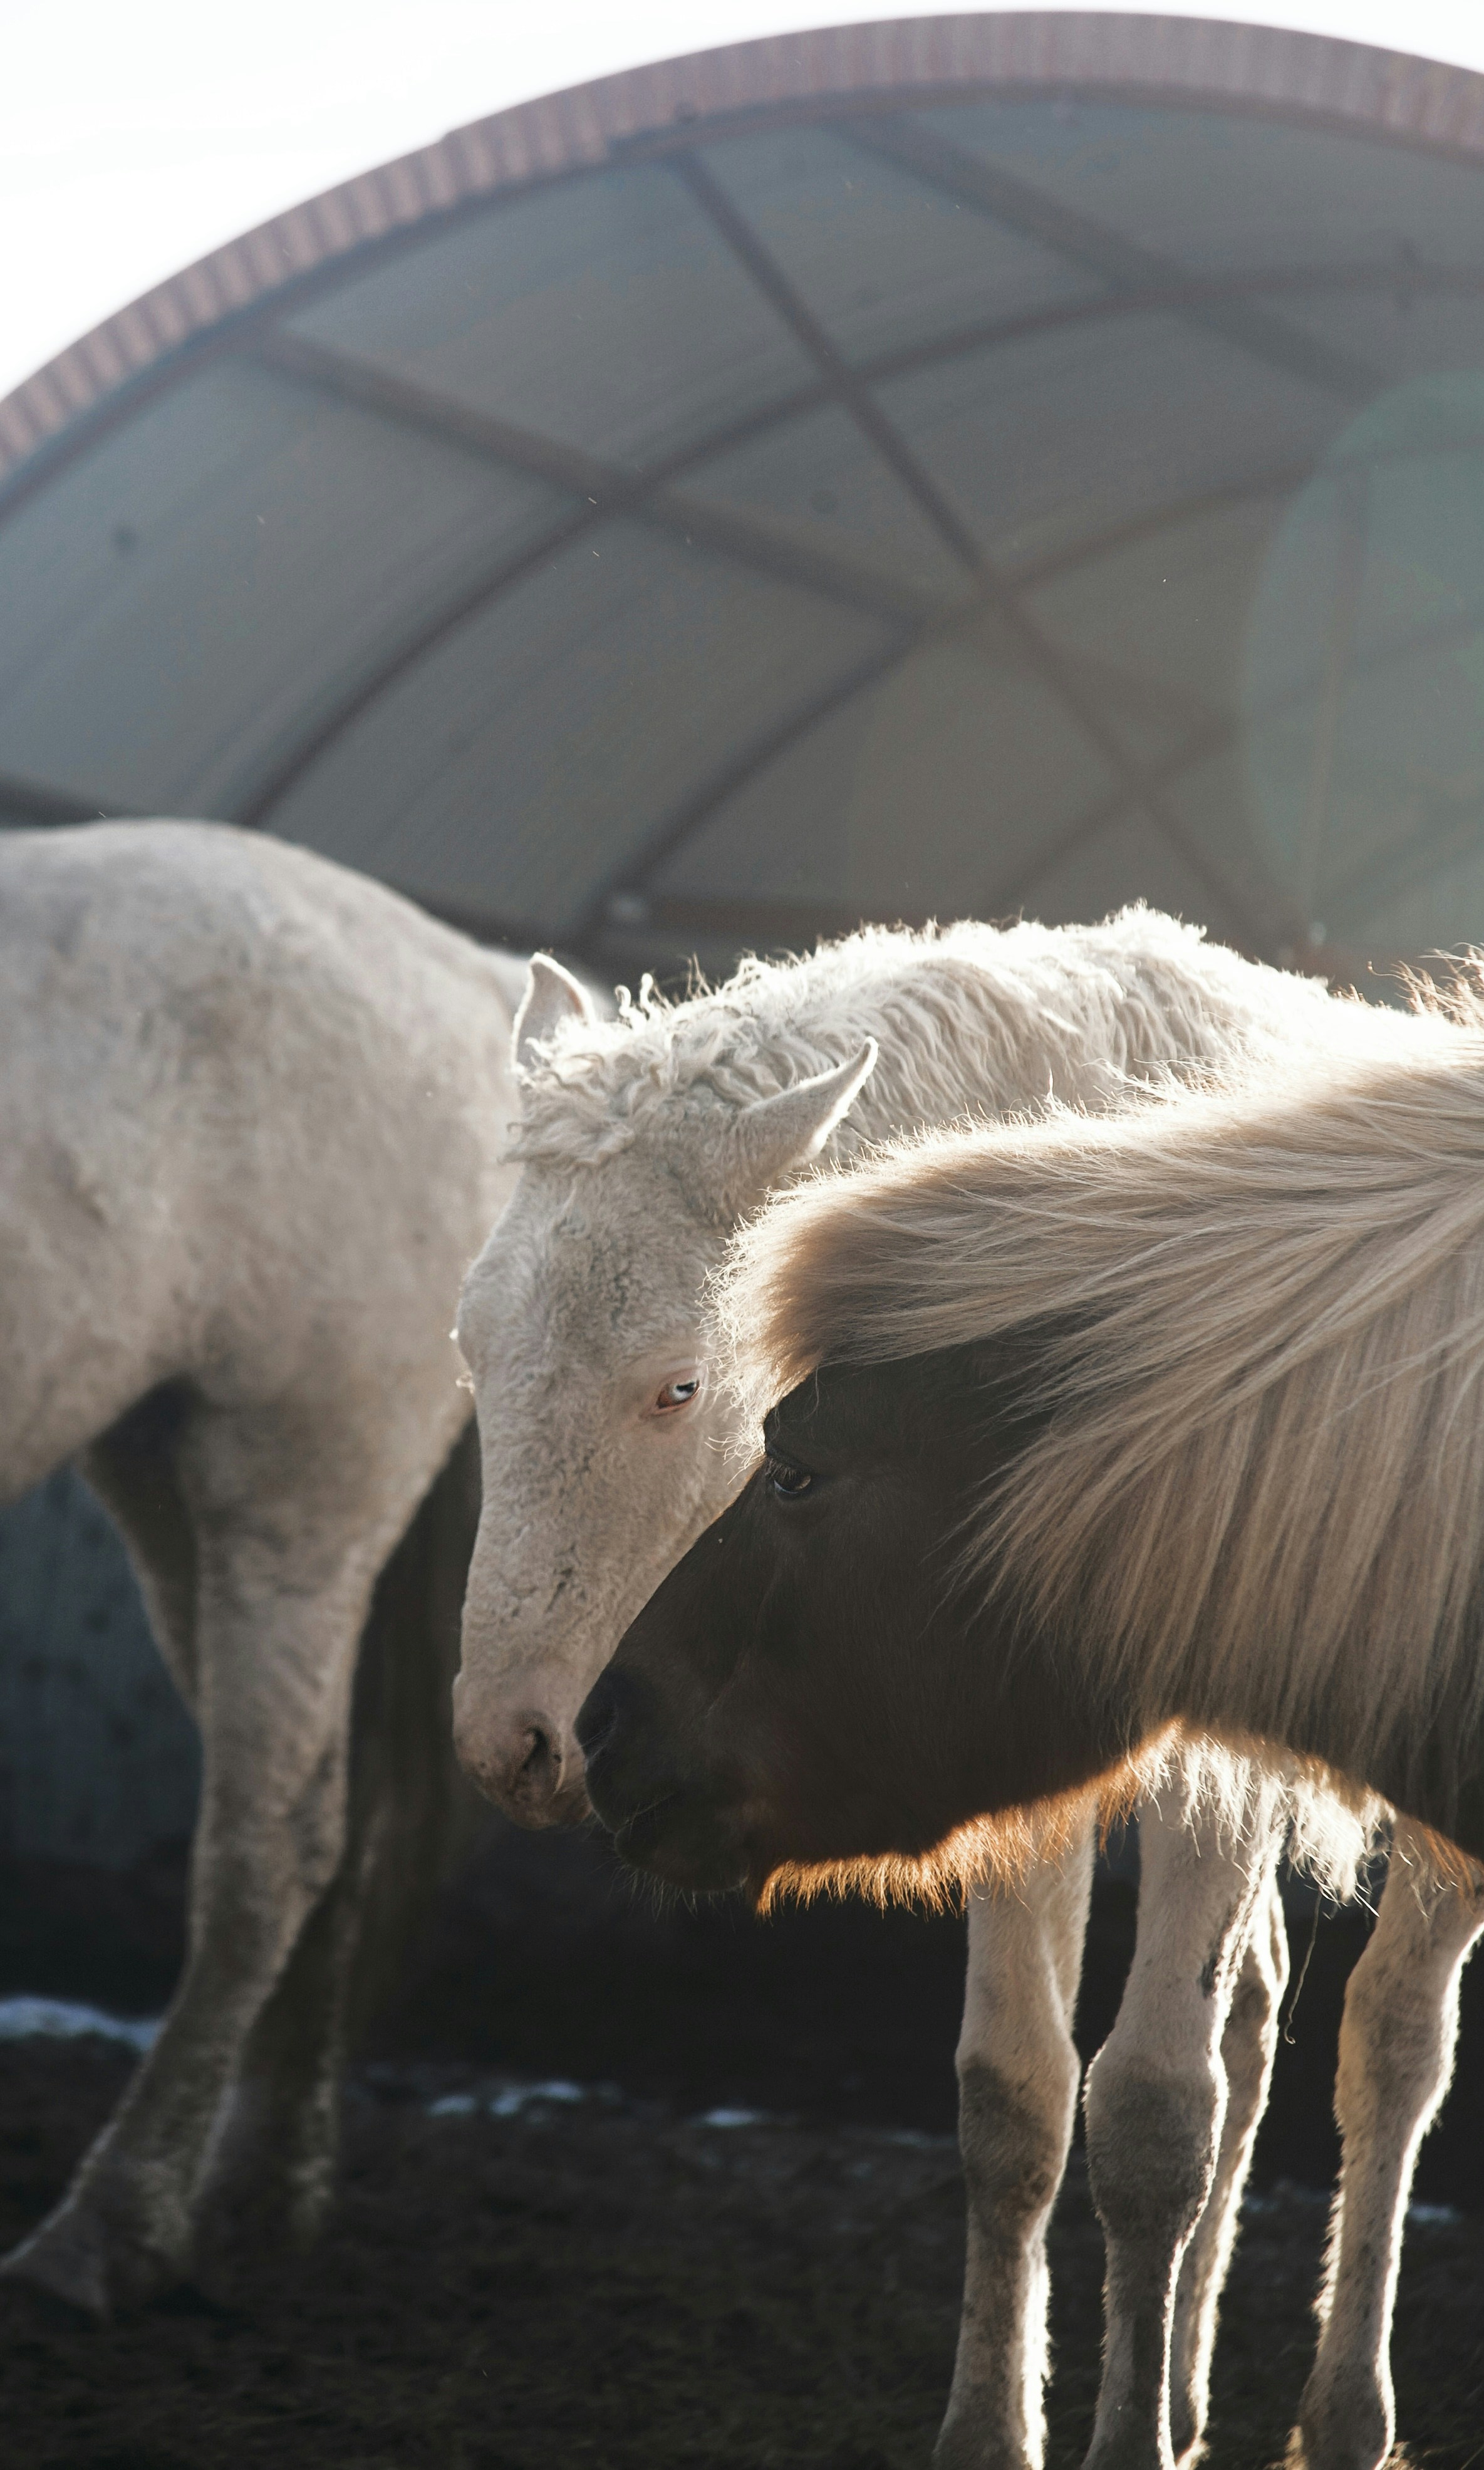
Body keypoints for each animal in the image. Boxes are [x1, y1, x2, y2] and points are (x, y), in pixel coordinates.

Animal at [0, 820, 522, 2317]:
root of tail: (464, 979)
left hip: (295, 1490)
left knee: (271, 1843)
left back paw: (106, 2231)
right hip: (166, 1485)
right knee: (327, 1822)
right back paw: (258, 2191)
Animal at [456, 913, 1404, 2470]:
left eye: (679, 1388)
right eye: (469, 1354)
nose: (511, 1744)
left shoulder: (1205, 1772)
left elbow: (1151, 2115)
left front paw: (1124, 2436)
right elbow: (1013, 2102)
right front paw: (993, 2424)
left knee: (1388, 2041)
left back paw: (1337, 2411)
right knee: (1259, 2012)